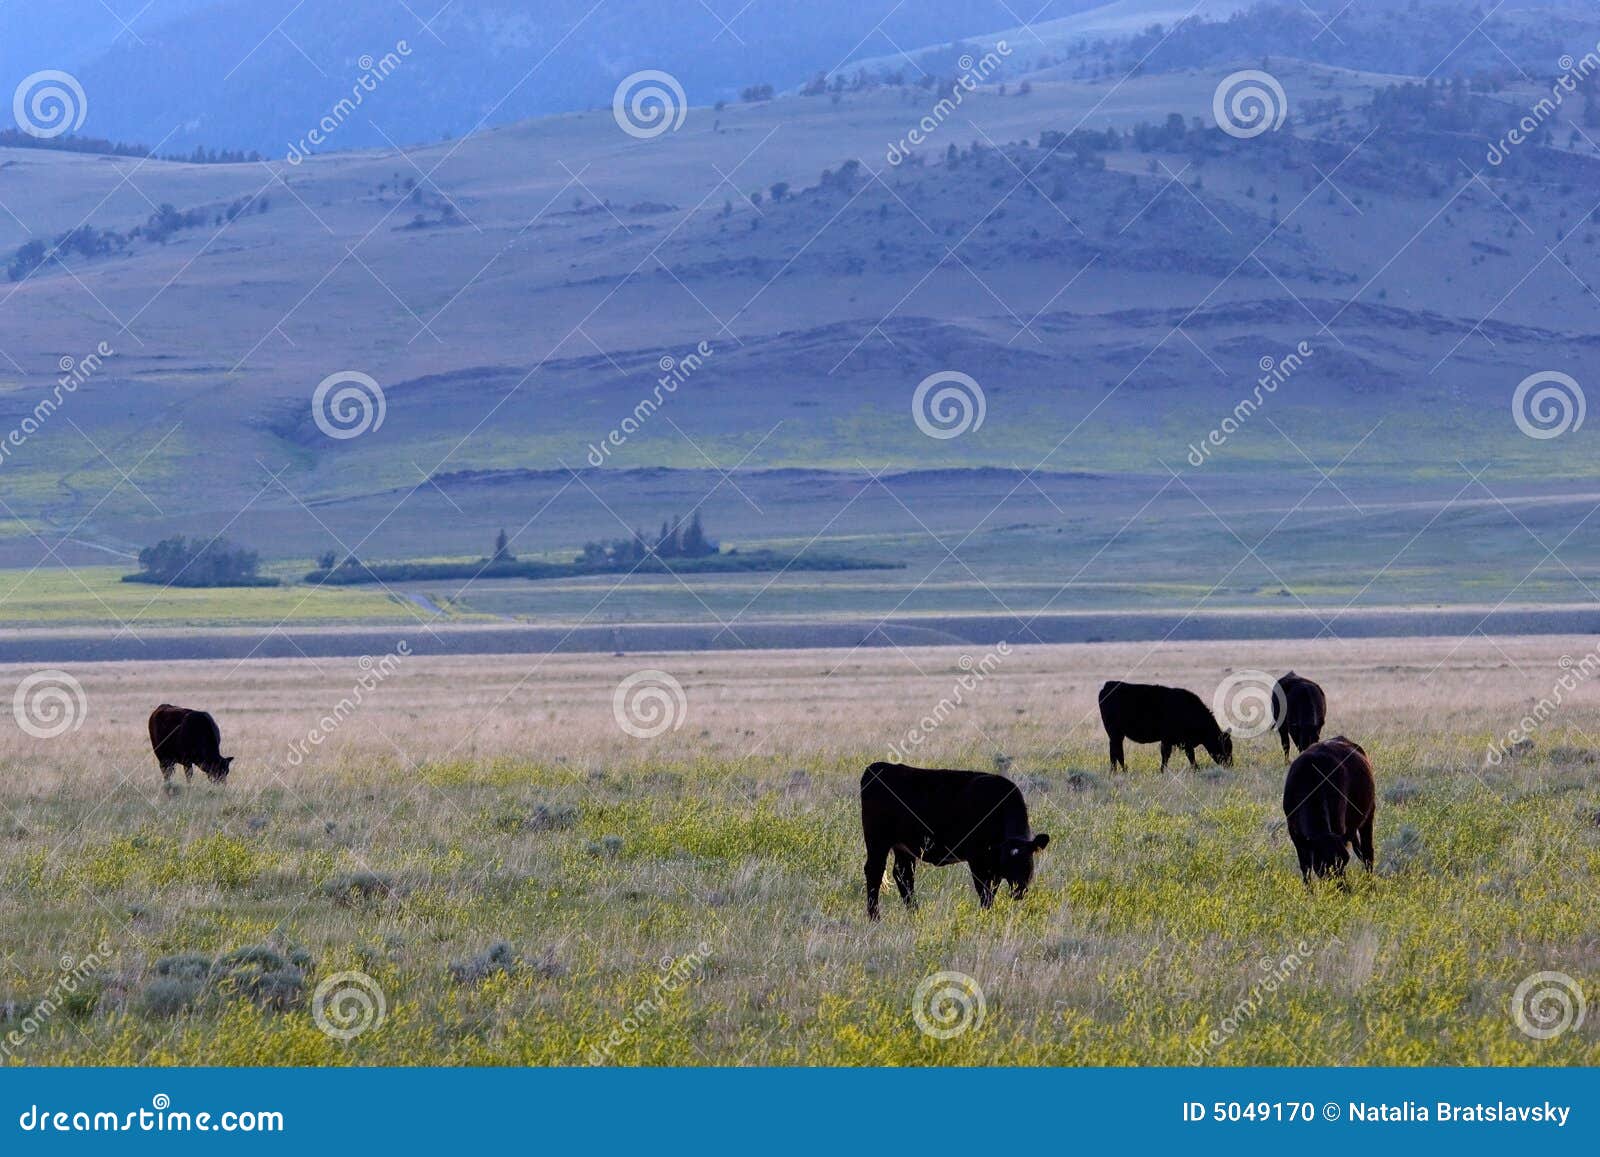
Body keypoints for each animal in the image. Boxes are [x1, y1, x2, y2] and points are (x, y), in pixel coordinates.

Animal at [859, 762, 1049, 920]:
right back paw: (875, 918)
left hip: (903, 847)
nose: (1019, 891)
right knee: (875, 872)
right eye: (1007, 862)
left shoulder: (993, 865)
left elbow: (991, 891)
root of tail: (878, 767)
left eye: (1027, 861)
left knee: (903, 875)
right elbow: (984, 892)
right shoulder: (977, 859)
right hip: (877, 841)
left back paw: (915, 915)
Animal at [1097, 680, 1233, 771]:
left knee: (1116, 751)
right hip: (1115, 733)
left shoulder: (1178, 742)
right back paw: (1119, 771)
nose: (1230, 764)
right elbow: (1176, 756)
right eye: (1225, 747)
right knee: (1116, 751)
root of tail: (1107, 685)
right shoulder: (1172, 740)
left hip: (1117, 735)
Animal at [1282, 736, 1374, 883]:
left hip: (1369, 816)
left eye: (1344, 861)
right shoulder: (1296, 835)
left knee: (1367, 854)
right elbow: (1305, 868)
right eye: (1323, 866)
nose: (1342, 886)